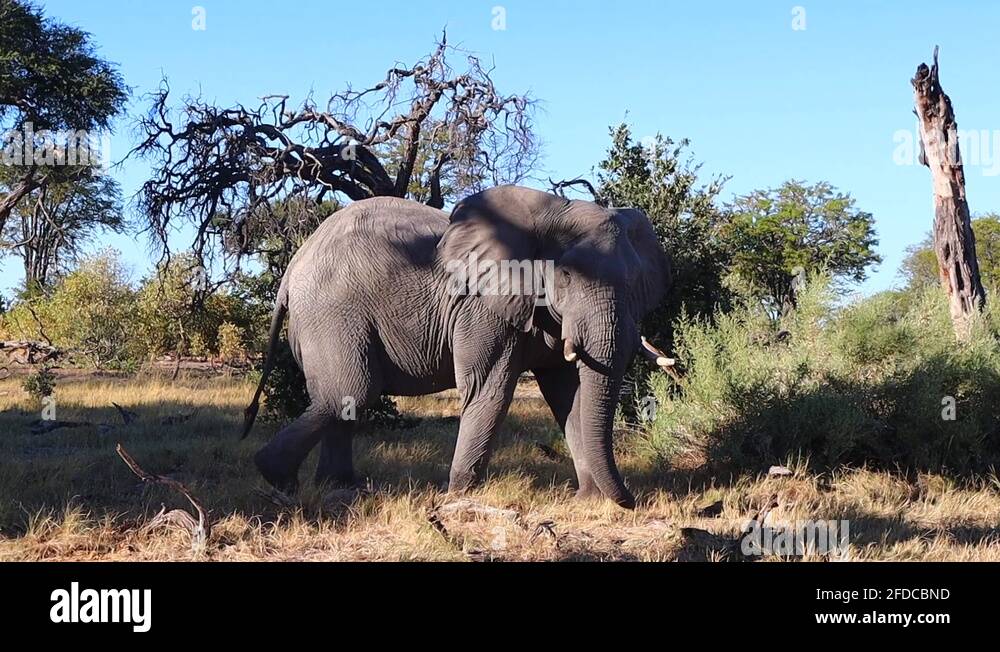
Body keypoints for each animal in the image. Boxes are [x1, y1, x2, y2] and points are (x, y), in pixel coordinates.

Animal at [242, 185, 673, 508]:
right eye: (565, 275)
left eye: (636, 282)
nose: (632, 502)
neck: (555, 209)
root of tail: (292, 269)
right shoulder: (483, 306)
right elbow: (490, 390)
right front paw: (459, 498)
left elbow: (569, 393)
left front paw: (589, 502)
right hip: (331, 315)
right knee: (351, 391)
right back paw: (275, 475)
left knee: (345, 400)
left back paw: (340, 488)